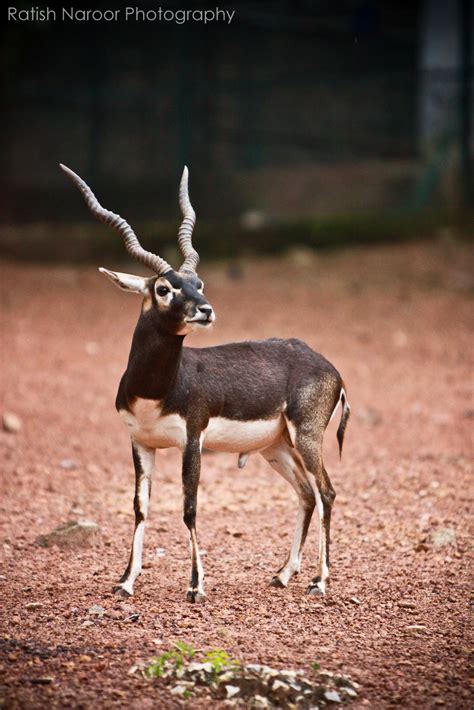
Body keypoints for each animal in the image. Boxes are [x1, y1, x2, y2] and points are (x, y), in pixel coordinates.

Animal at [60, 163, 350, 602]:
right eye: (164, 288)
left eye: (199, 284)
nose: (206, 310)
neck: (156, 391)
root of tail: (329, 365)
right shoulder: (140, 442)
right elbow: (140, 507)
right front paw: (125, 581)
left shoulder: (192, 439)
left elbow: (190, 507)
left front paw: (196, 586)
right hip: (276, 445)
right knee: (305, 493)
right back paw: (284, 574)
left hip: (307, 437)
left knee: (327, 492)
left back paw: (318, 581)